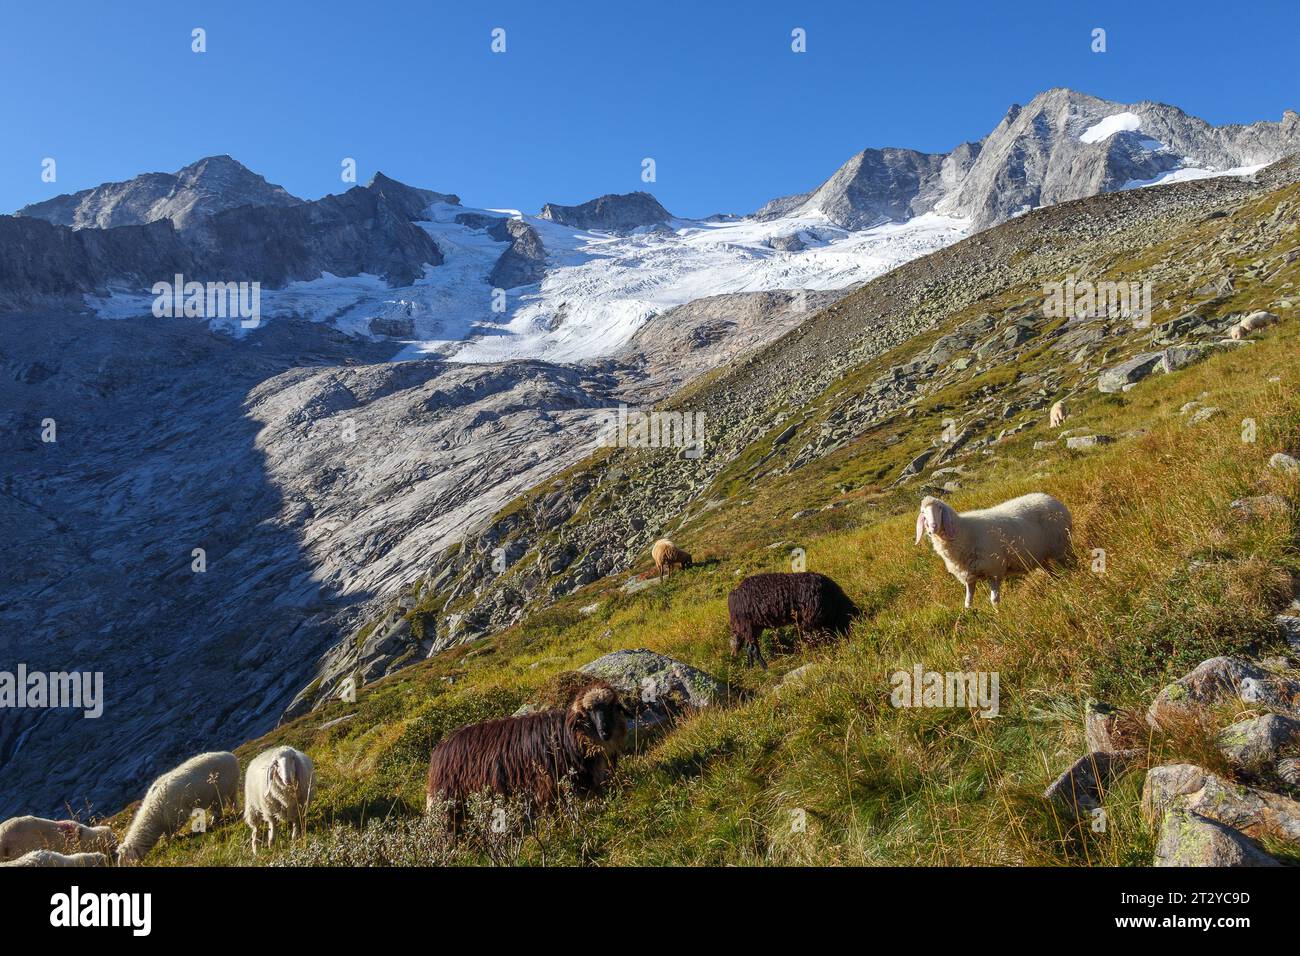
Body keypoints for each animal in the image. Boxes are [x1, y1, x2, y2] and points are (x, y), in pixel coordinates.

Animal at [425, 680, 628, 824]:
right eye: (589, 711)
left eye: (612, 707)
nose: (605, 732)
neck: (566, 736)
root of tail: (440, 748)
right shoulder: (547, 788)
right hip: (450, 802)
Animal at [727, 572, 860, 669]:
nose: (850, 638)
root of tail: (733, 595)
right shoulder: (809, 620)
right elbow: (810, 636)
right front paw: (815, 648)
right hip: (747, 625)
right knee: (753, 648)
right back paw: (765, 668)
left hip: (753, 627)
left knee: (748, 647)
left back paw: (751, 667)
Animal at [915, 492, 1072, 608]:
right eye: (923, 512)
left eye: (940, 508)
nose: (932, 527)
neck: (963, 531)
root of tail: (1050, 498)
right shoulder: (969, 576)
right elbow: (967, 603)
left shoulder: (994, 571)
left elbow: (994, 600)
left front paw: (998, 615)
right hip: (1042, 556)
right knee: (1051, 571)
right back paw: (1057, 583)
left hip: (1062, 546)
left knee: (1070, 564)